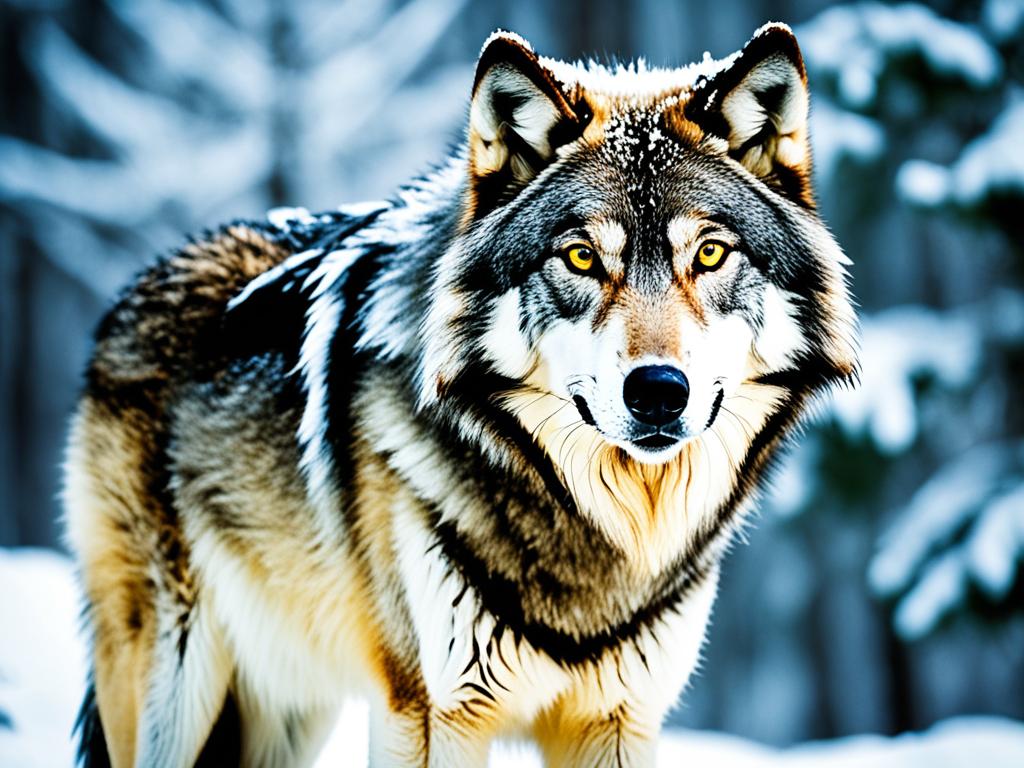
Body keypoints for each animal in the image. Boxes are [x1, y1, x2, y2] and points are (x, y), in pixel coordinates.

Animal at [64, 22, 857, 768]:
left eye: (711, 254)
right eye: (580, 257)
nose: (659, 391)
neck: (598, 536)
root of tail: (138, 287)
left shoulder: (618, 718)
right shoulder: (433, 710)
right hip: (176, 687)